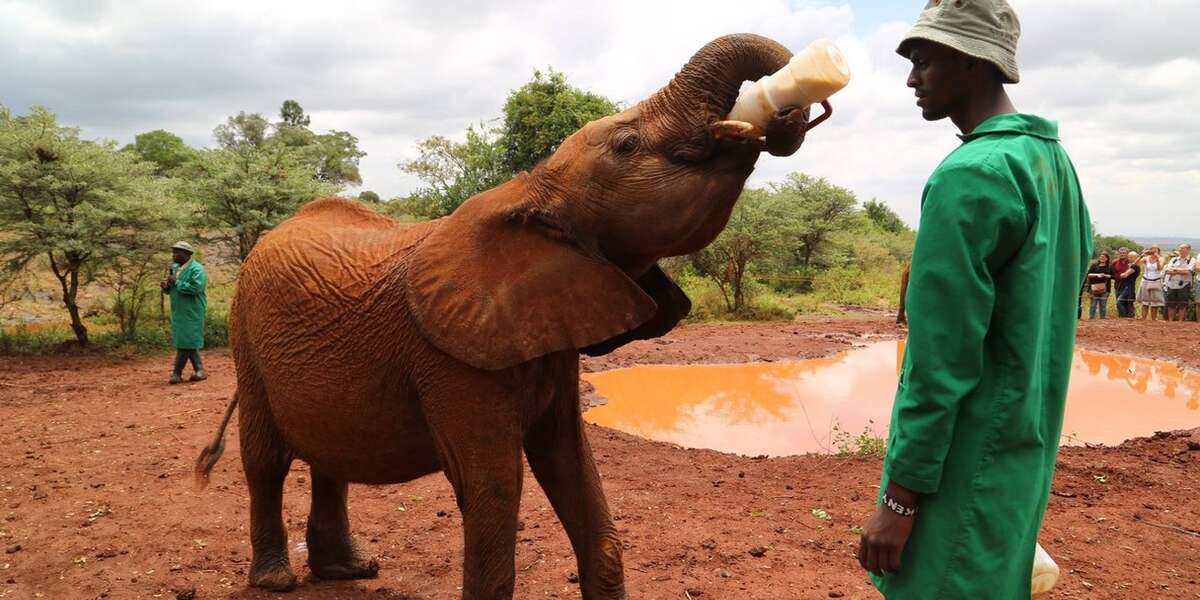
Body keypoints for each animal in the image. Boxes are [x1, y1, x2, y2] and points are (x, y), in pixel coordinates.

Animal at [194, 33, 815, 599]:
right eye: (627, 143)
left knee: (330, 454)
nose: (784, 115)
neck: (530, 192)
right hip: (245, 334)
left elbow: (570, 463)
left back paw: (349, 571)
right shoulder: (449, 360)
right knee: (264, 459)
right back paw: (276, 579)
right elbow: (493, 485)